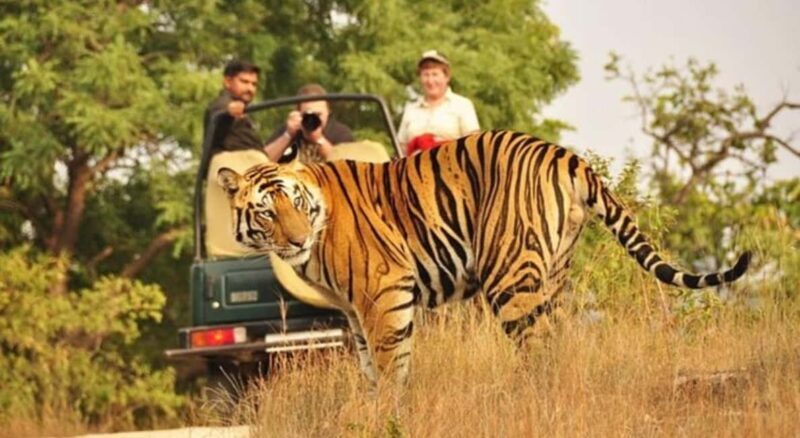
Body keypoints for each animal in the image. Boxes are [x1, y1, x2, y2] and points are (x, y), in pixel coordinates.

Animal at [216, 130, 751, 386]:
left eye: (294, 202)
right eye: (267, 211)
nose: (296, 240)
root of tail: (566, 155)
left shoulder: (384, 292)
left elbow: (391, 366)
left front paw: (389, 412)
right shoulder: (354, 311)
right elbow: (370, 367)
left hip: (509, 276)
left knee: (537, 347)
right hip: (552, 274)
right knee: (558, 341)